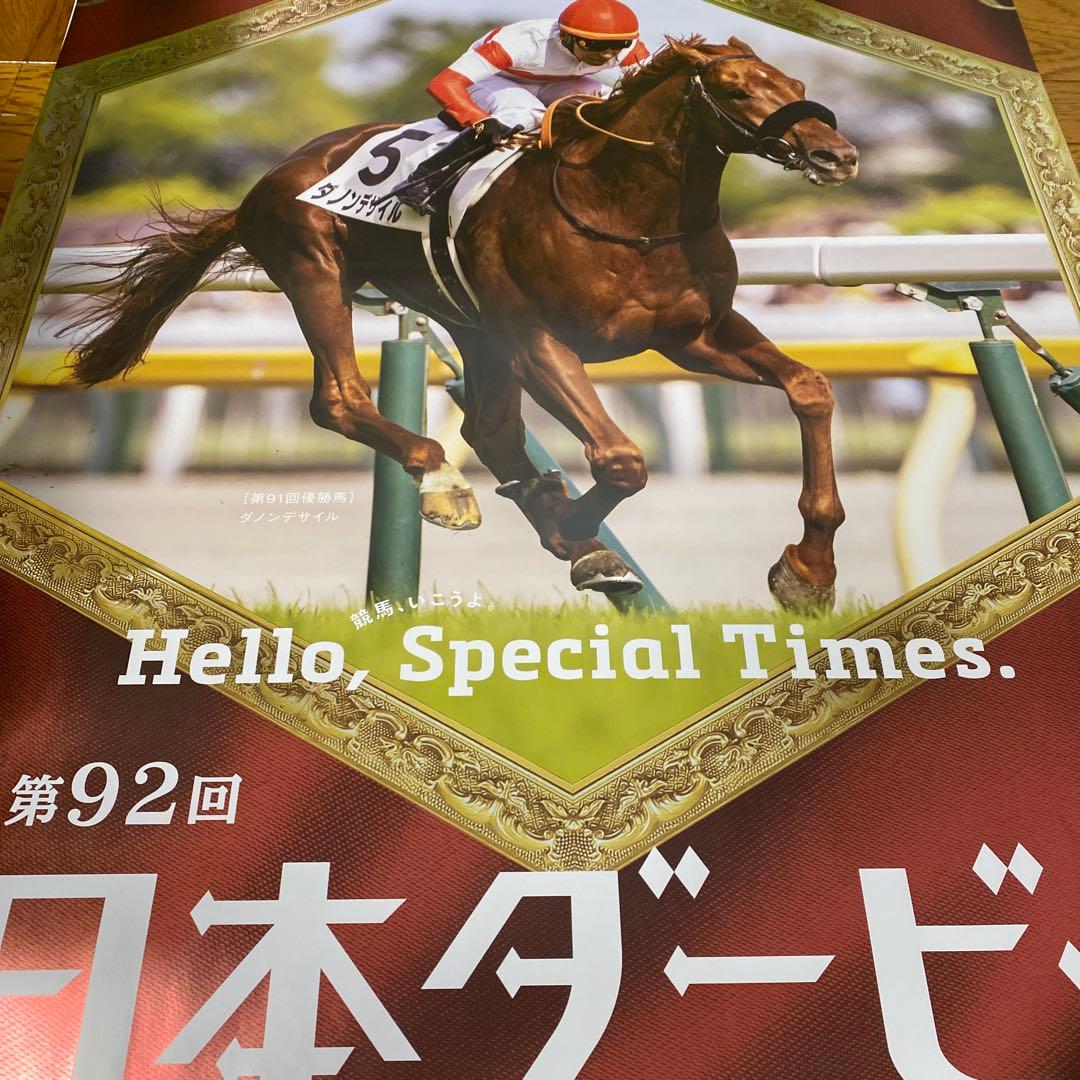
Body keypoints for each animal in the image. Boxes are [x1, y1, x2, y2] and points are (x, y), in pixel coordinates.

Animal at [66, 34, 858, 613]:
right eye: (737, 88)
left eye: (793, 84)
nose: (837, 154)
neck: (622, 211)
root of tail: (265, 182)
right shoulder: (538, 339)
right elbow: (619, 459)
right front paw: (568, 523)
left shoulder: (693, 335)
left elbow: (811, 389)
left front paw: (809, 569)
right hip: (318, 273)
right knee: (341, 401)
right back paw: (448, 480)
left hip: (471, 326)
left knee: (491, 428)